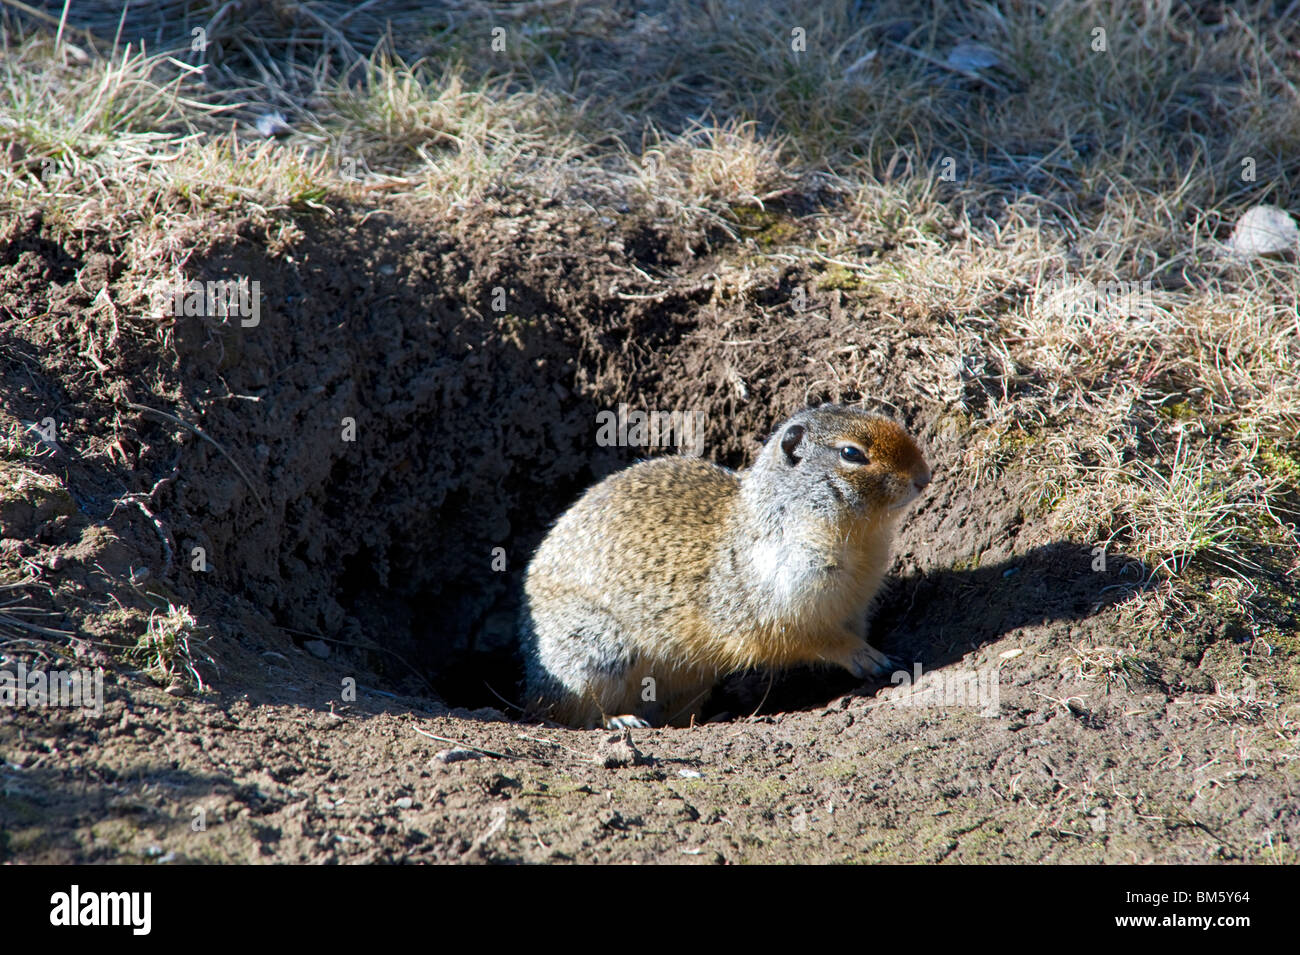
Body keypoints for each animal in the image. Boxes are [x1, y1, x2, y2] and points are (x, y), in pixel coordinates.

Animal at [519, 404, 932, 729]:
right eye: (851, 453)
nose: (924, 478)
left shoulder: (855, 604)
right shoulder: (782, 605)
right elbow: (818, 639)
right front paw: (868, 657)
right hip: (597, 650)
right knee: (571, 711)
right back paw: (619, 720)